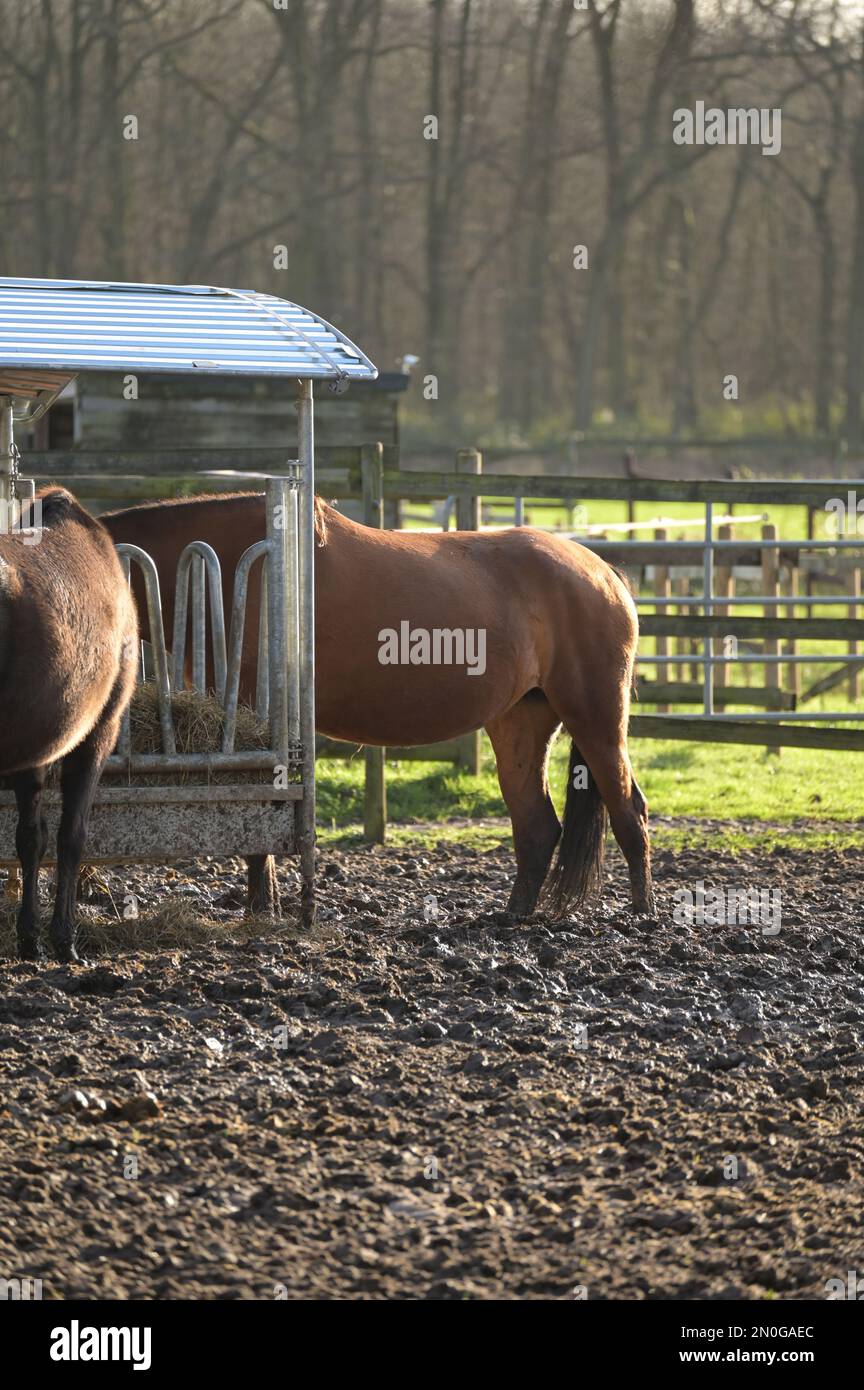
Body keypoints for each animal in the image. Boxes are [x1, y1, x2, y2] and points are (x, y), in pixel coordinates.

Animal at [1, 488, 138, 962]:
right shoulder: (99, 731)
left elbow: (31, 838)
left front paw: (30, 936)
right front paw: (63, 937)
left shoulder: (33, 750)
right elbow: (70, 836)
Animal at [103, 493, 654, 922]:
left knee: (629, 812)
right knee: (538, 827)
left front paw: (262, 910)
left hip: (596, 720)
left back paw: (642, 915)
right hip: (521, 722)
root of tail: (604, 573)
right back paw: (511, 916)